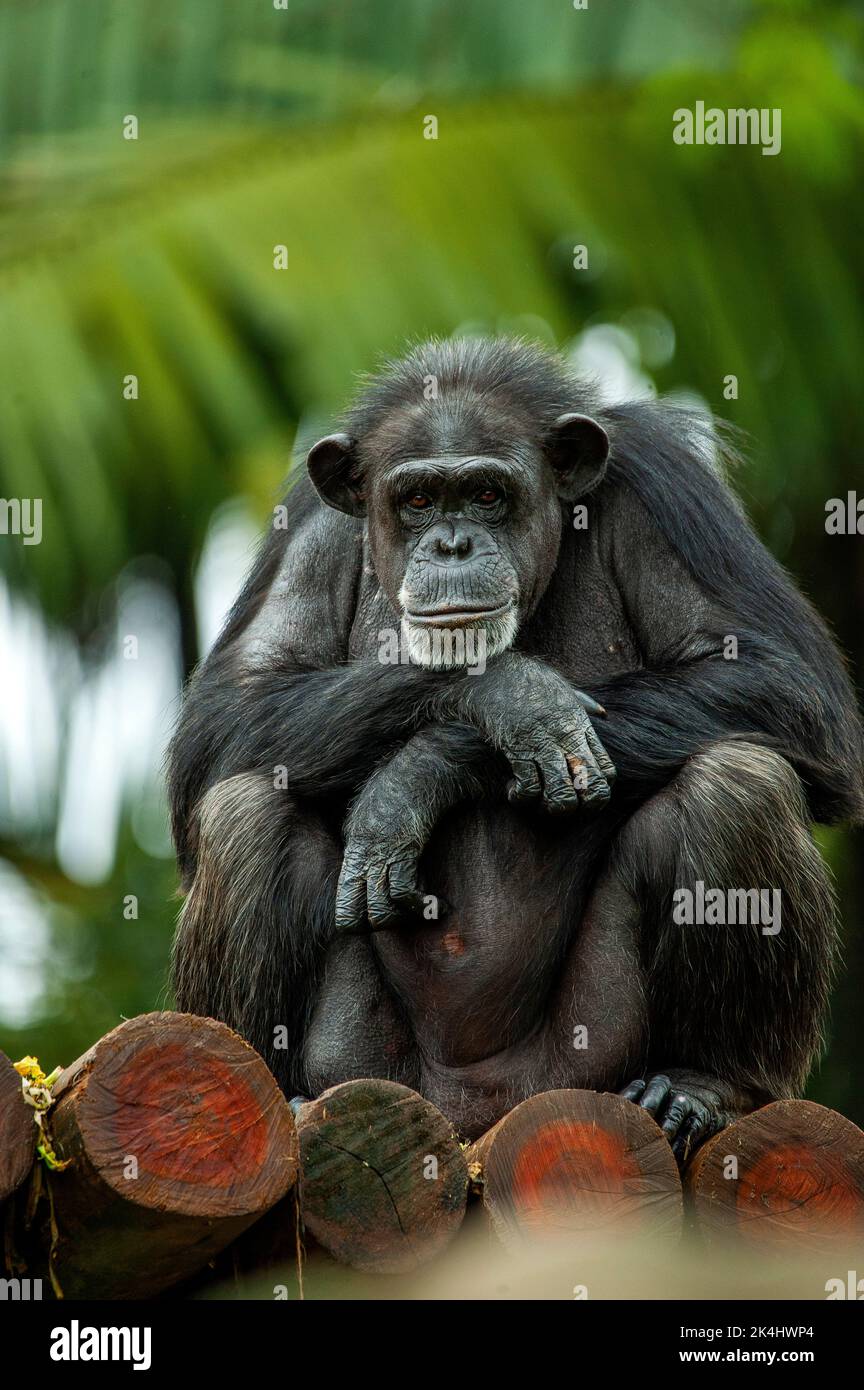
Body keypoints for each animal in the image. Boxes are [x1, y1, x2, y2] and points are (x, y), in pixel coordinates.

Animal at [168, 336, 864, 1154]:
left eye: (487, 494)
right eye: (417, 501)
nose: (452, 544)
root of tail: (475, 1122)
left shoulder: (668, 487)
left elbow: (782, 681)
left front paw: (420, 776)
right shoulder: (308, 530)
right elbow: (227, 713)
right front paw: (511, 695)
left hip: (585, 1057)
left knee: (741, 779)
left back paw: (705, 1084)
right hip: (365, 1063)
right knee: (246, 808)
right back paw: (274, 1097)